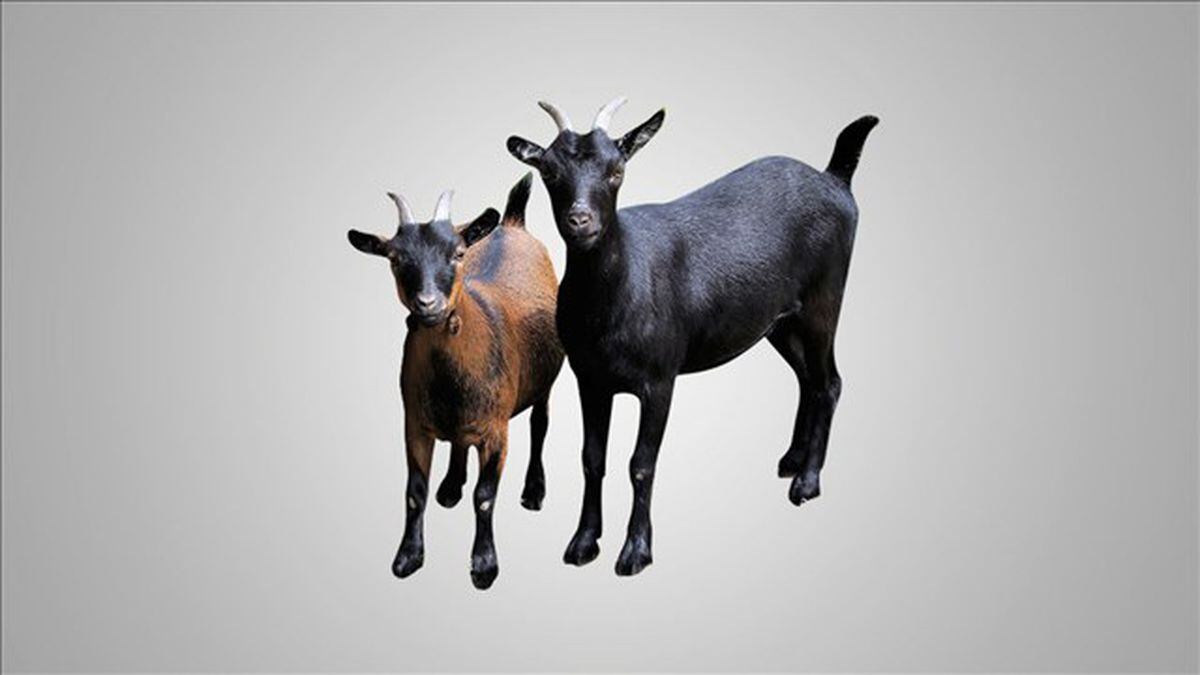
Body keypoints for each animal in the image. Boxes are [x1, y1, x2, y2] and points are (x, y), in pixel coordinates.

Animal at [347, 174, 564, 589]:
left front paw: (484, 566)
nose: (428, 303)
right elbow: (414, 493)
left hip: (545, 382)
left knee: (541, 424)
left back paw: (534, 491)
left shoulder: (496, 430)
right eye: (395, 259)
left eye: (458, 253)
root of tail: (511, 223)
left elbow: (485, 495)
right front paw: (407, 557)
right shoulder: (415, 423)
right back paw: (450, 487)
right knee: (462, 440)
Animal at [507, 98, 877, 576]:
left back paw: (807, 482)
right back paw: (791, 461)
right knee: (807, 380)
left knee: (829, 382)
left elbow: (641, 464)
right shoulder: (589, 378)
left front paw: (635, 552)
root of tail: (835, 179)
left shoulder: (660, 379)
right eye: (550, 172)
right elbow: (592, 459)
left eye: (617, 170)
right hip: (780, 321)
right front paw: (583, 543)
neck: (618, 293)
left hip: (823, 302)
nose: (580, 221)